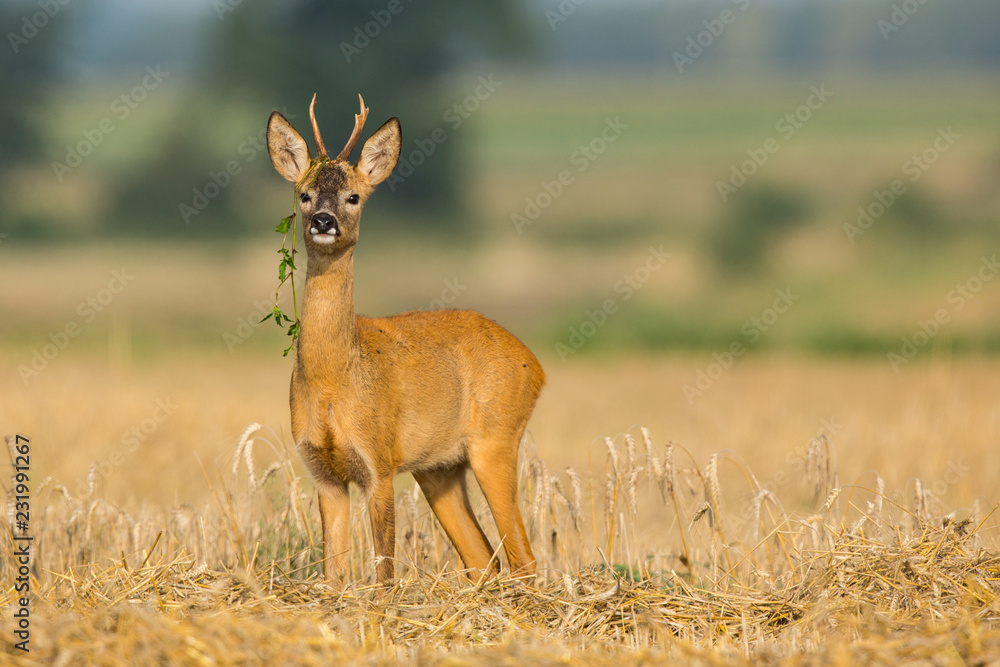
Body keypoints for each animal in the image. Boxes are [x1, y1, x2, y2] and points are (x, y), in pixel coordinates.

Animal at [265, 94, 544, 585]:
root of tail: (537, 366)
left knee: (524, 559)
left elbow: (385, 576)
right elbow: (333, 575)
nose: (323, 220)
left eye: (354, 196)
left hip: (496, 440)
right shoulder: (323, 472)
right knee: (482, 559)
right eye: (304, 194)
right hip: (440, 468)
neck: (335, 380)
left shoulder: (379, 462)